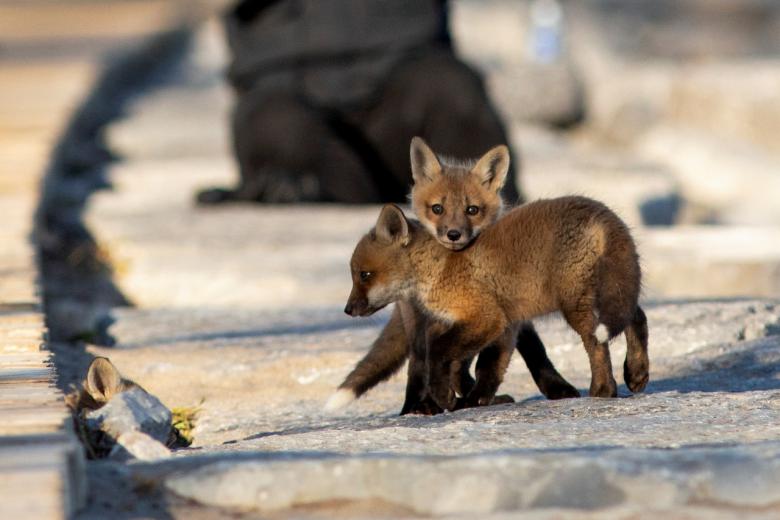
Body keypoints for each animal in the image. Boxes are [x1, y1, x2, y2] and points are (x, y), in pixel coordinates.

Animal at [327, 139, 579, 414]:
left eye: (472, 210)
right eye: (437, 208)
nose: (454, 234)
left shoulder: (502, 309)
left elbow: (524, 350)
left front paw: (555, 386)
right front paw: (457, 395)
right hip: (418, 326)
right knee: (418, 364)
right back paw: (419, 405)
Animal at [345, 196, 650, 411]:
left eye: (364, 275)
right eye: (356, 275)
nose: (348, 310)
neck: (440, 269)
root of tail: (603, 214)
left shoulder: (487, 317)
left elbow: (443, 353)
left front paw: (448, 397)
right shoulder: (502, 323)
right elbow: (486, 366)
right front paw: (470, 399)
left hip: (576, 305)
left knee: (597, 344)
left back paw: (603, 390)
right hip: (610, 293)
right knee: (637, 317)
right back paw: (636, 372)